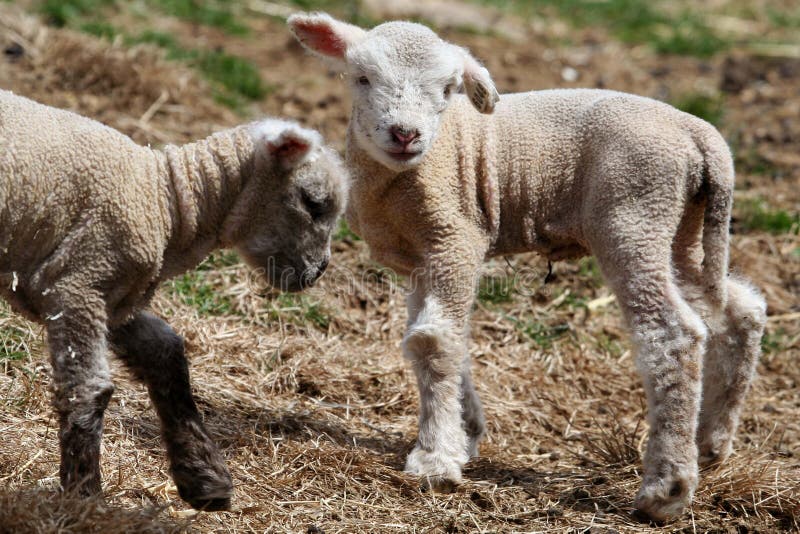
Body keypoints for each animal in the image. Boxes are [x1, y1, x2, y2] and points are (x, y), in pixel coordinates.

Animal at [0, 89, 348, 510]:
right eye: (313, 203)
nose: (320, 270)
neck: (166, 199)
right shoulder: (79, 281)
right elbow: (88, 389)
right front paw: (85, 499)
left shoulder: (112, 297)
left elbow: (166, 352)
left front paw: (205, 478)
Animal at [288, 13, 767, 521]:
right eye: (362, 78)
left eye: (448, 89)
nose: (405, 134)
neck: (406, 178)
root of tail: (702, 136)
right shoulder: (423, 258)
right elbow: (442, 339)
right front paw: (464, 432)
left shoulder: (454, 237)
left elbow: (433, 341)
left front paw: (436, 459)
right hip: (685, 229)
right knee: (740, 310)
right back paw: (712, 442)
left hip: (635, 212)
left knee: (673, 334)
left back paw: (666, 487)